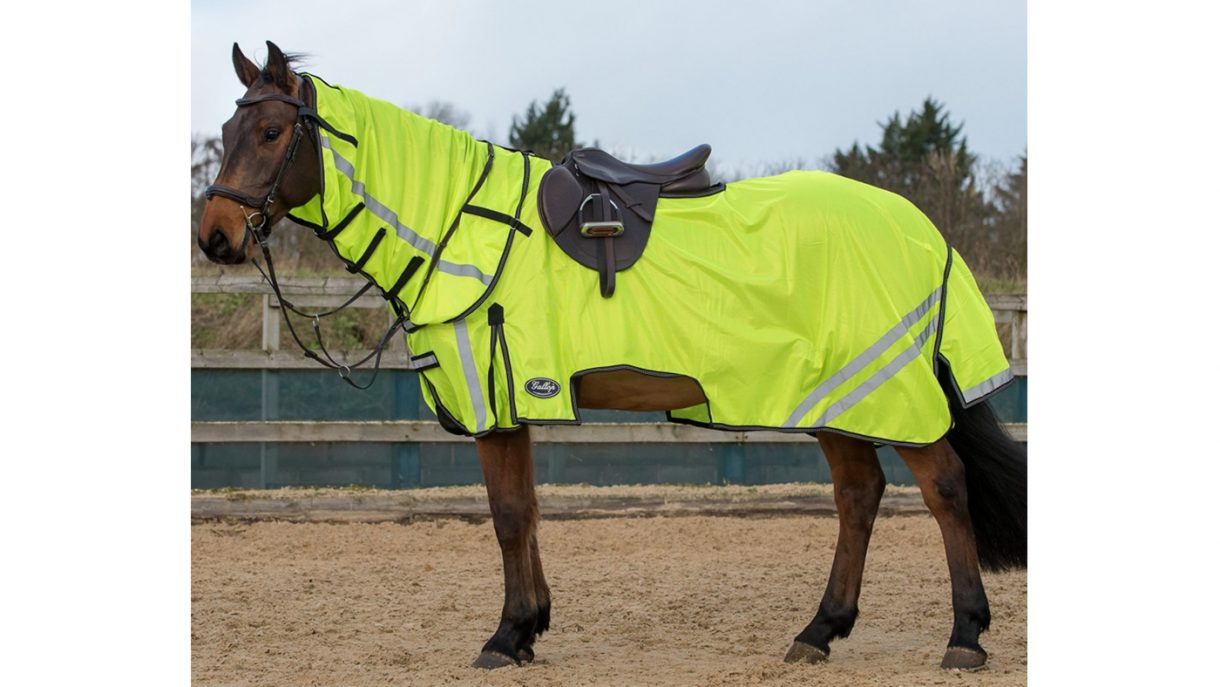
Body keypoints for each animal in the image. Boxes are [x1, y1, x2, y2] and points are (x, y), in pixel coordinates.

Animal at [196, 41, 1027, 672]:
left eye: (269, 132)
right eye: (229, 129)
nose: (215, 236)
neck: (461, 221)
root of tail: (921, 229)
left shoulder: (498, 395)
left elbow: (506, 515)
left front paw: (505, 636)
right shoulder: (517, 397)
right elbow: (526, 510)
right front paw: (530, 625)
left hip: (888, 395)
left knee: (944, 488)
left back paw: (964, 635)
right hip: (835, 396)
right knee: (859, 496)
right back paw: (819, 631)